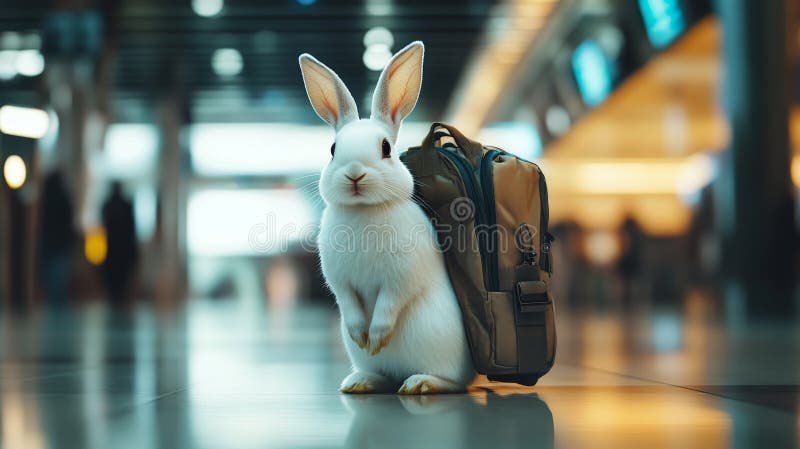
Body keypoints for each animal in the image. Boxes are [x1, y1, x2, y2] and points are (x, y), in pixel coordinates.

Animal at [298, 41, 474, 394]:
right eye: (333, 149)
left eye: (386, 148)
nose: (354, 174)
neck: (364, 209)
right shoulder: (339, 280)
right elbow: (349, 304)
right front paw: (362, 337)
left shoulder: (400, 276)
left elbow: (389, 304)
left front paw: (377, 337)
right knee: (383, 375)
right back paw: (359, 382)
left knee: (453, 382)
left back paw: (421, 383)